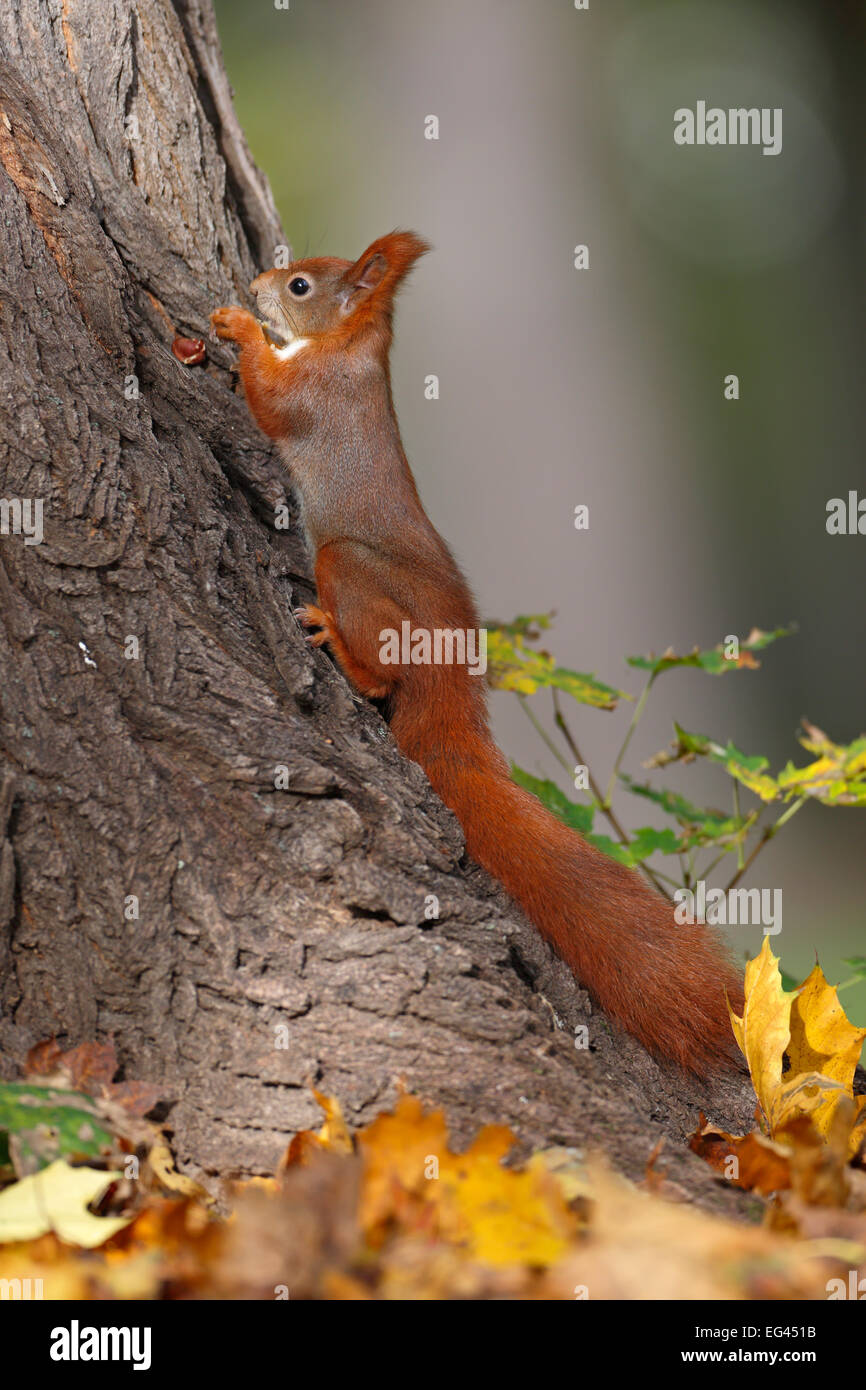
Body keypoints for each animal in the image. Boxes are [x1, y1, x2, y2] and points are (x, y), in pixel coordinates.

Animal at [211, 230, 745, 1076]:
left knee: (378, 672)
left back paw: (340, 646)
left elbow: (270, 398)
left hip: (350, 568)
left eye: (300, 286)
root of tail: (451, 703)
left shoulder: (313, 396)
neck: (349, 347)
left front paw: (235, 326)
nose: (259, 284)